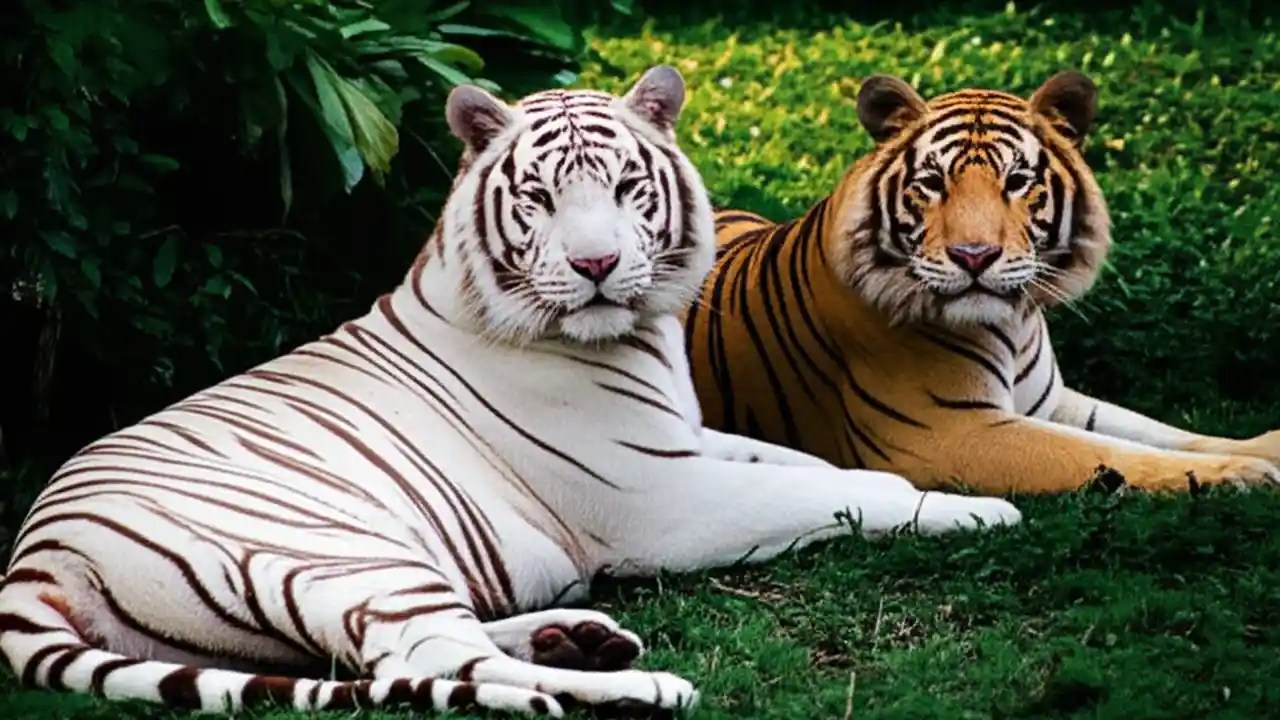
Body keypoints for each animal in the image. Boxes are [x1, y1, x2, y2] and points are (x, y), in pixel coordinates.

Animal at [0, 66, 1020, 718]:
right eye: (537, 199)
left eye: (626, 187)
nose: (597, 264)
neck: (637, 336)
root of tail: (34, 557)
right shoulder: (662, 498)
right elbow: (843, 492)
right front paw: (981, 509)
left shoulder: (689, 439)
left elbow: (812, 464)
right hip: (340, 551)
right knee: (430, 657)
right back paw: (637, 688)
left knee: (427, 652)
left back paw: (581, 638)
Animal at [685, 70, 1280, 495]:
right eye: (932, 183)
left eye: (1016, 181)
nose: (975, 256)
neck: (1017, 323)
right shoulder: (948, 432)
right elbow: (1106, 453)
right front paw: (1241, 474)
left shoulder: (1050, 403)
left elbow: (1156, 431)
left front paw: (1262, 446)